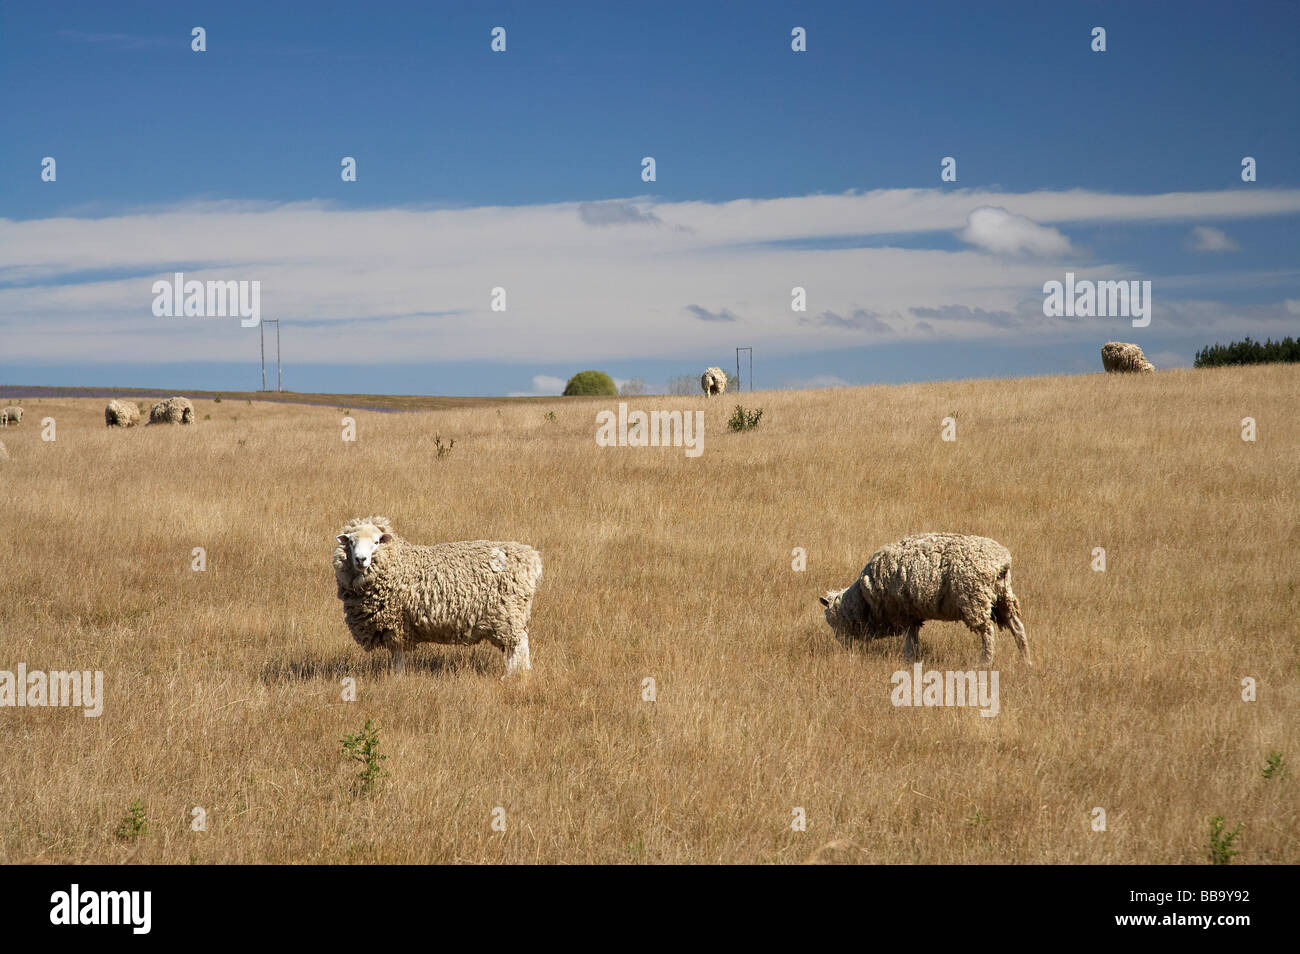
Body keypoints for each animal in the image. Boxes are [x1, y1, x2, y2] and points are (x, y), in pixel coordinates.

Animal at [333, 516, 543, 677]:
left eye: (376, 542)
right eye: (351, 542)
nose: (361, 559)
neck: (398, 563)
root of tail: (531, 558)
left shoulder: (395, 622)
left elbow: (398, 654)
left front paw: (397, 677)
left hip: (508, 614)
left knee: (518, 646)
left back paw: (513, 676)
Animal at [819, 532, 1030, 667]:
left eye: (833, 622)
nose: (843, 646)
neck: (864, 600)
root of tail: (1002, 562)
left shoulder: (902, 612)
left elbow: (908, 639)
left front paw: (907, 659)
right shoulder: (912, 614)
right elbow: (914, 638)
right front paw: (914, 659)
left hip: (974, 599)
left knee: (987, 632)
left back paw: (986, 662)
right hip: (1003, 598)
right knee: (1017, 627)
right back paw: (1025, 660)